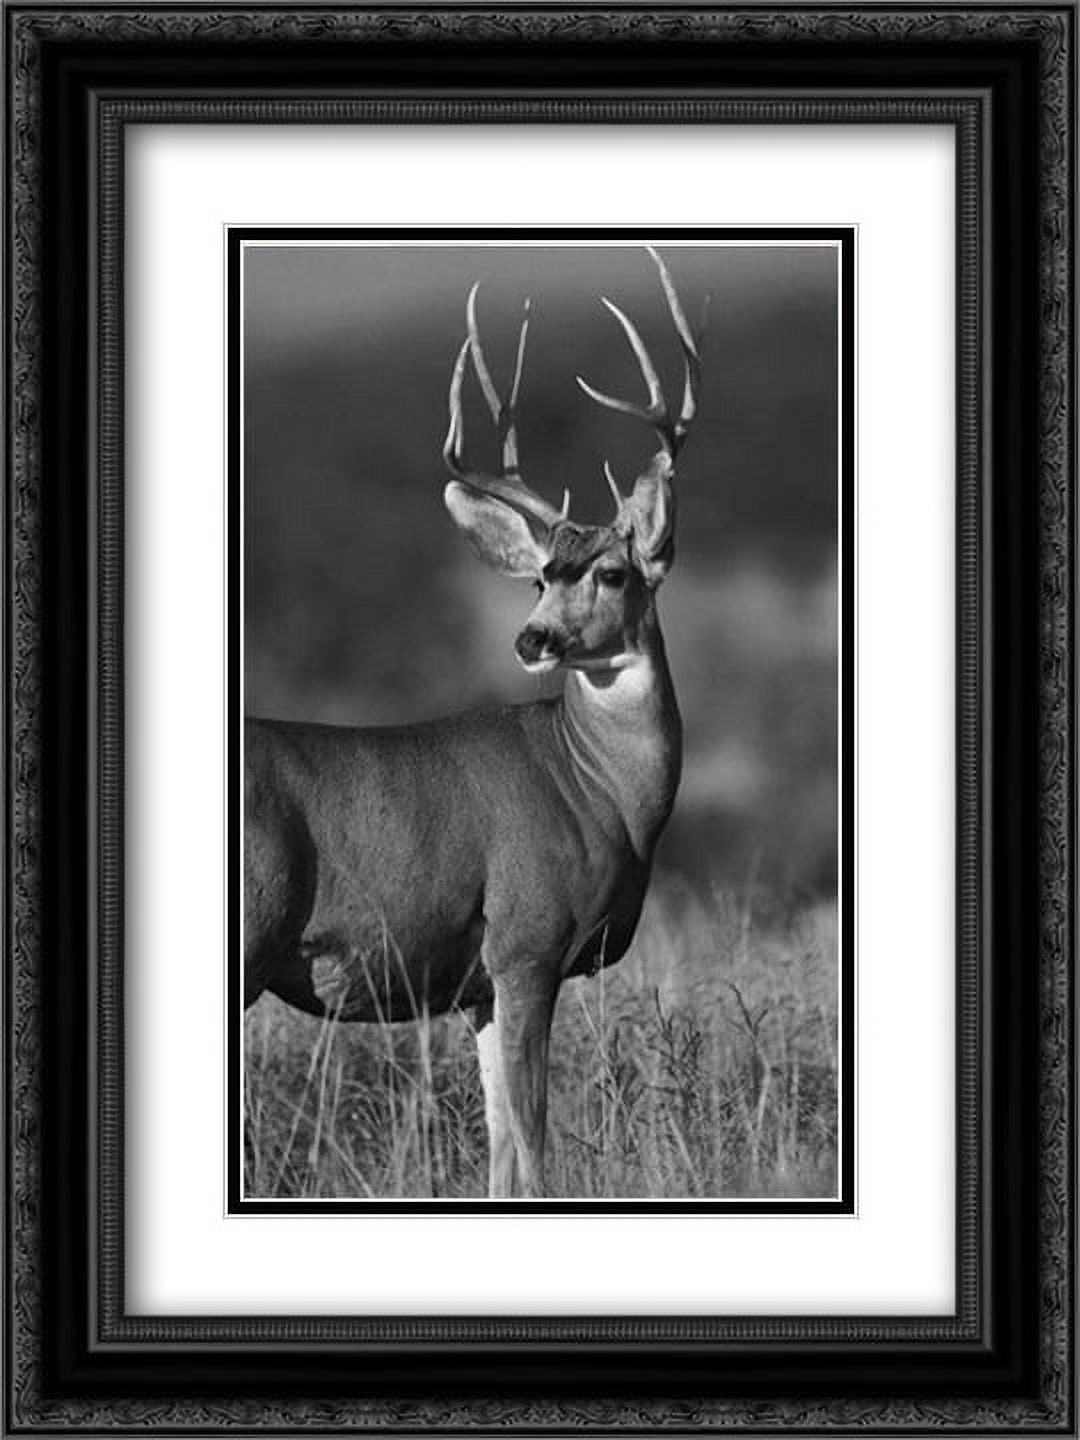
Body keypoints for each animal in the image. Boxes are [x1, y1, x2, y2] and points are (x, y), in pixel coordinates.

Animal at [244, 246, 703, 1197]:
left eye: (610, 573)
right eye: (538, 578)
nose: (531, 637)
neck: (601, 796)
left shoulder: (482, 985)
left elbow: (499, 1150)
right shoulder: (526, 941)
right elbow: (533, 1146)